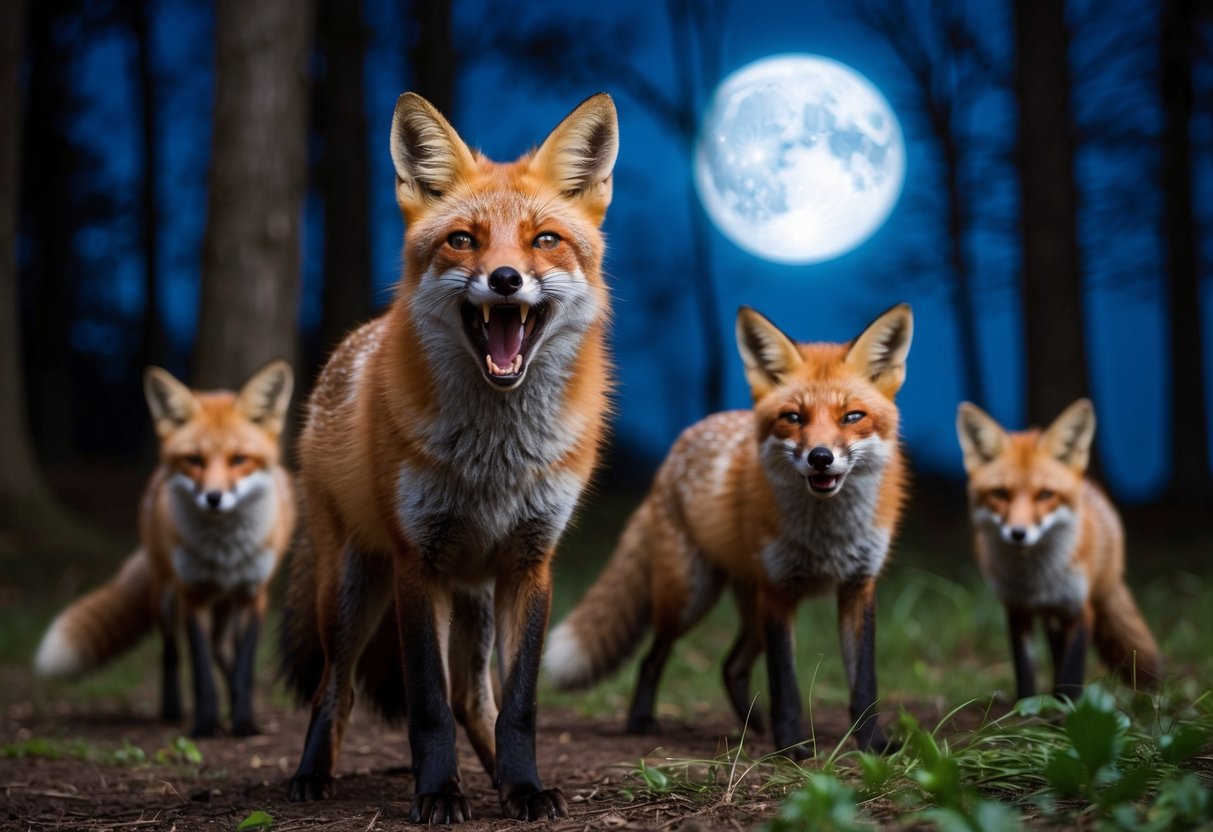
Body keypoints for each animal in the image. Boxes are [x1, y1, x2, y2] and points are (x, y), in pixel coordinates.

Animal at [33, 361, 296, 738]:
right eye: (194, 459)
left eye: (239, 459)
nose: (213, 498)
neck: (225, 553)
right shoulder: (192, 595)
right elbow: (200, 672)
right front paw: (205, 724)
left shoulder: (253, 596)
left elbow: (244, 669)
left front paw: (244, 721)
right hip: (165, 595)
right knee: (172, 652)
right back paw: (171, 710)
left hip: (225, 603)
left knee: (222, 651)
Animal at [279, 92, 618, 823]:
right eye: (463, 239)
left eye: (544, 240)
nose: (505, 278)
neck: (493, 459)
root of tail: (346, 350)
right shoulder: (418, 563)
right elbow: (427, 706)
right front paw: (437, 792)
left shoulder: (530, 563)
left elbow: (517, 705)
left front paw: (524, 788)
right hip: (351, 587)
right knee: (336, 688)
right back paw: (312, 775)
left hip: (477, 593)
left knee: (475, 697)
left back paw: (498, 778)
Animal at [544, 304, 913, 758]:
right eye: (793, 418)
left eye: (853, 417)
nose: (820, 457)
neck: (827, 537)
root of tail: (668, 463)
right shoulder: (779, 591)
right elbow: (785, 684)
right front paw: (792, 747)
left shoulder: (858, 587)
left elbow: (865, 684)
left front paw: (873, 743)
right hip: (691, 596)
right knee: (653, 658)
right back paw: (642, 722)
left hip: (749, 609)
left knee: (730, 666)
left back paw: (751, 727)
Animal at [956, 399, 1161, 699]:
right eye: (1001, 494)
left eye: (1045, 495)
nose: (1018, 533)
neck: (1035, 582)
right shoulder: (1017, 610)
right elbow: (1025, 671)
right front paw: (1026, 708)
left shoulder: (1080, 610)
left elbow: (1071, 672)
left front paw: (1067, 708)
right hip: (1051, 617)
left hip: (1077, 604)